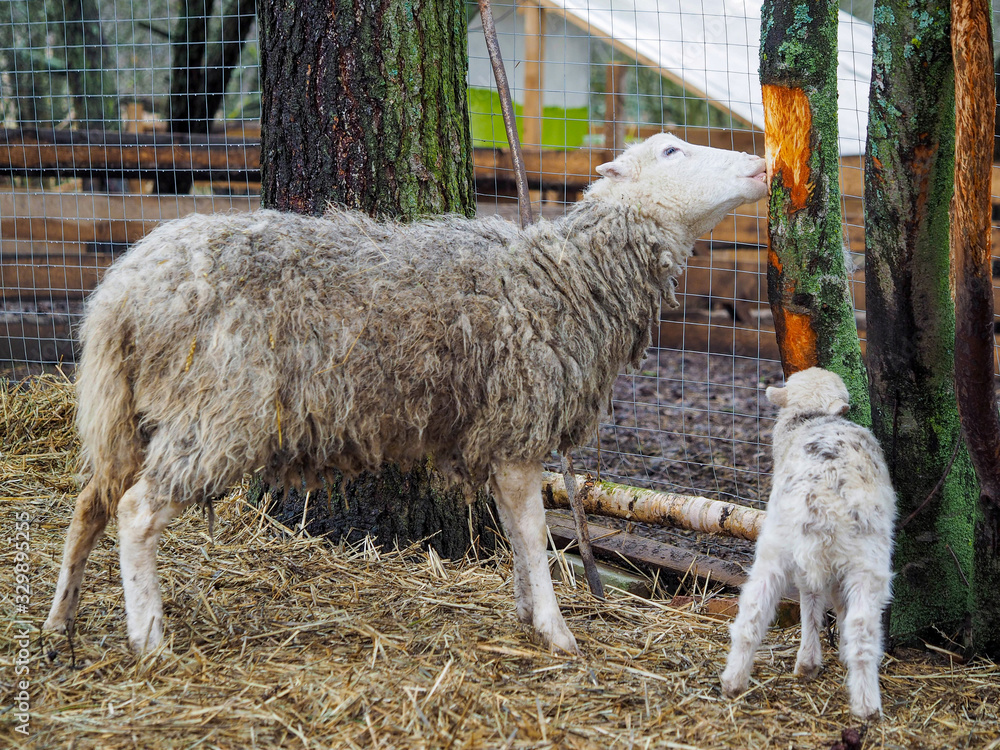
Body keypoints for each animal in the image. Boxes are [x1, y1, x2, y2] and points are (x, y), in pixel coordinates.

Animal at [44, 133, 769, 656]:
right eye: (672, 151)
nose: (762, 165)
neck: (568, 276)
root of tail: (123, 288)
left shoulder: (495, 435)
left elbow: (514, 532)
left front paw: (525, 610)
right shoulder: (520, 425)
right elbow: (535, 532)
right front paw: (556, 631)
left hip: (134, 409)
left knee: (91, 502)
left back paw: (60, 623)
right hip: (217, 411)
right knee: (134, 511)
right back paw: (149, 638)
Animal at [721, 367, 897, 719]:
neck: (809, 417)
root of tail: (820, 497)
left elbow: (812, 605)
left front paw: (810, 661)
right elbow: (828, 604)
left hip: (777, 544)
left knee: (753, 611)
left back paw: (733, 680)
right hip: (865, 558)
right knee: (861, 627)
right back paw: (866, 703)